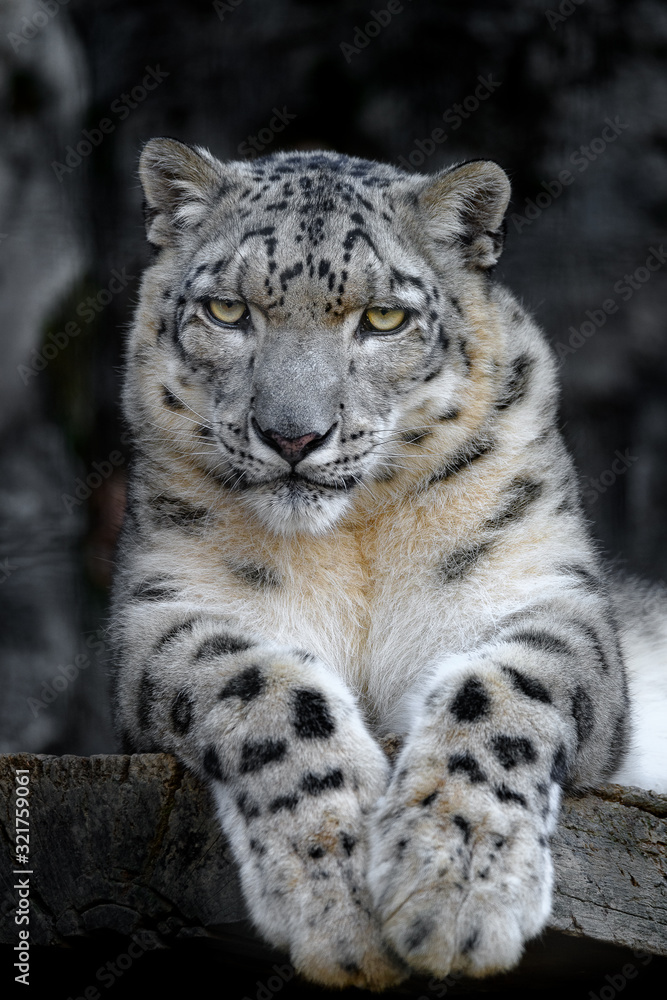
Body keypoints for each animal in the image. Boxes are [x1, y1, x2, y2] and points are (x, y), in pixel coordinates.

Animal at [110, 138, 667, 990]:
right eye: (228, 310)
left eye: (383, 318)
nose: (292, 435)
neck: (355, 539)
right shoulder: (171, 607)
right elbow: (264, 692)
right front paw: (337, 889)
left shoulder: (540, 592)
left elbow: (501, 697)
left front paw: (453, 889)